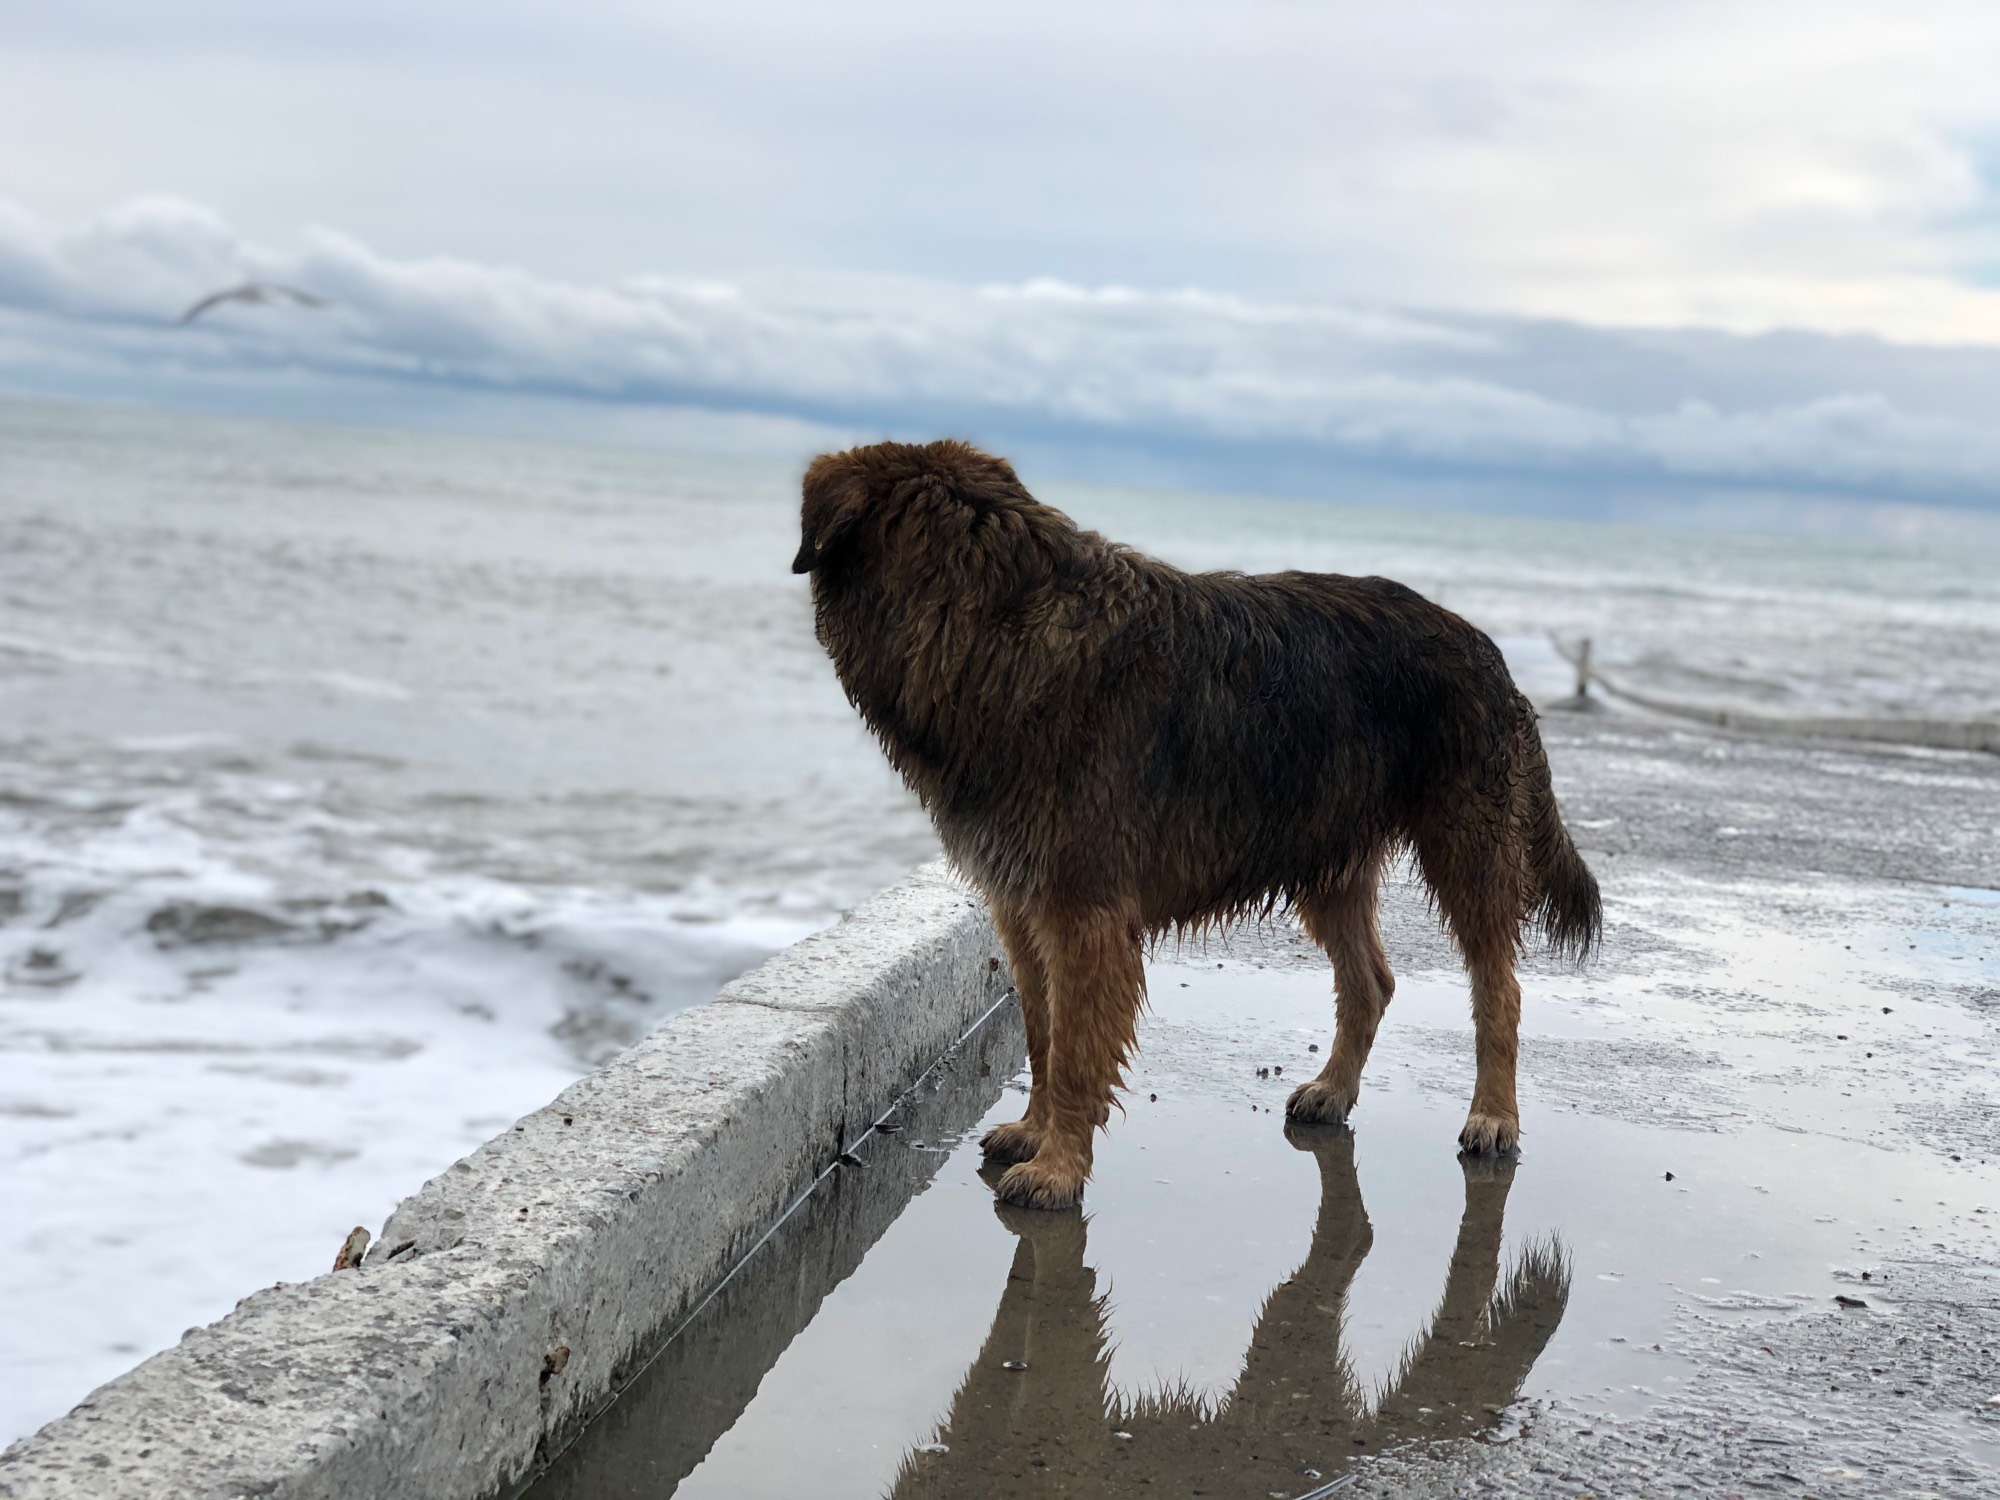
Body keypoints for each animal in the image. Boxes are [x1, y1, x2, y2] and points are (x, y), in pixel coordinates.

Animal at [792, 438, 1592, 1208]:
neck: (993, 631)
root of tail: (1490, 653)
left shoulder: (1084, 914)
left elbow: (1074, 1050)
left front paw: (1058, 1169)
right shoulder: (1023, 904)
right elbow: (1042, 1033)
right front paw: (1034, 1131)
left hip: (1466, 843)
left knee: (1499, 990)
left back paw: (1494, 1116)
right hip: (1328, 848)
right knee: (1370, 982)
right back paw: (1334, 1090)